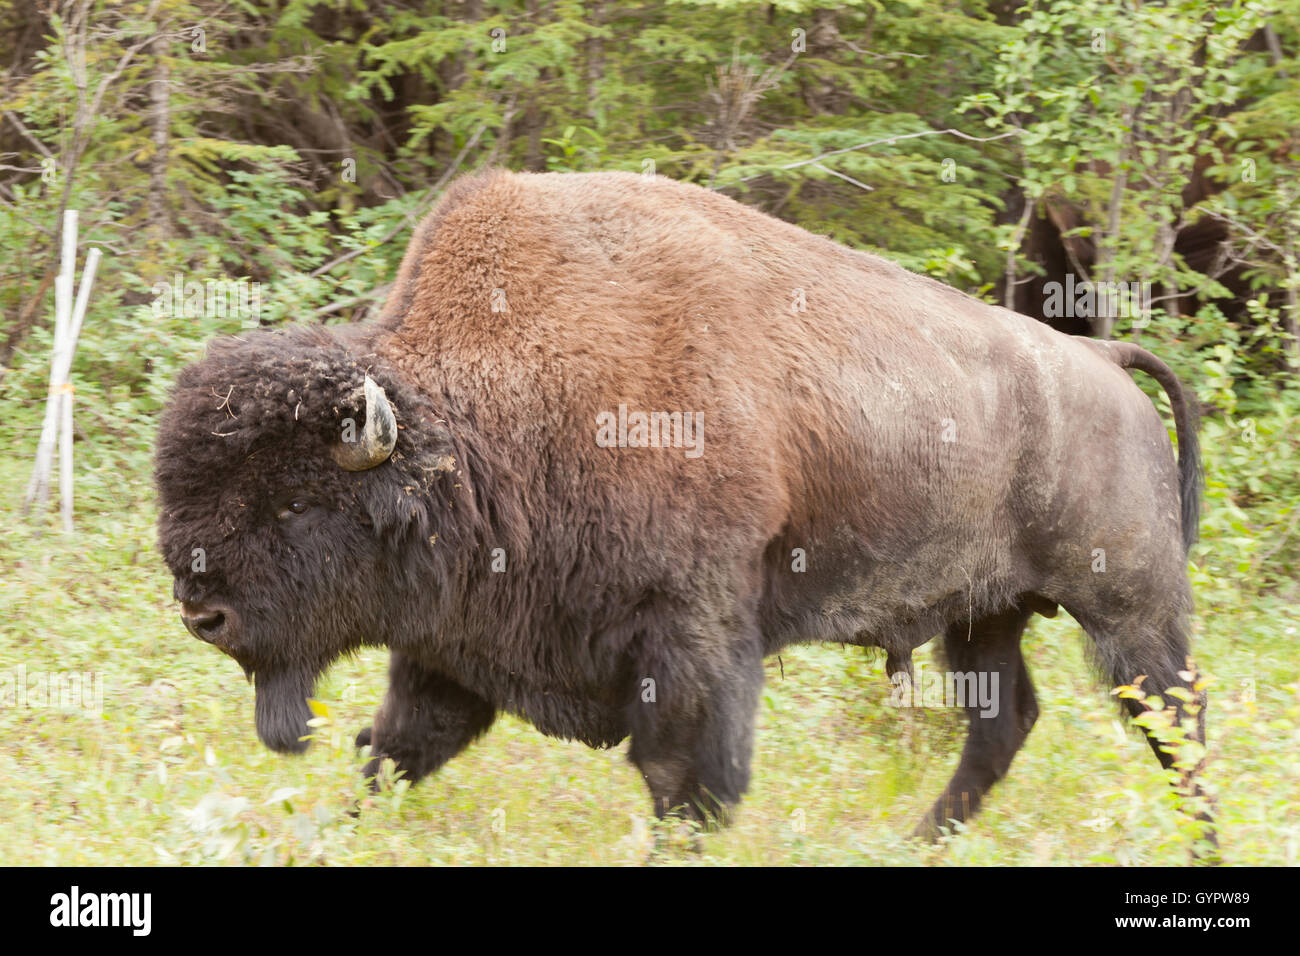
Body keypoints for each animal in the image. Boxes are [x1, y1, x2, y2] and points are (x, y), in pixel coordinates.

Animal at [156, 168, 1207, 839]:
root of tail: (1102, 360)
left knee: (1176, 723)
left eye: (296, 501)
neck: (483, 427)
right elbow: (395, 748)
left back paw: (1201, 840)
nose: (203, 613)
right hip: (986, 616)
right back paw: (922, 839)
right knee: (1005, 721)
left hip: (1126, 610)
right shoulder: (455, 641)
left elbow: (685, 781)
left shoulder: (693, 635)